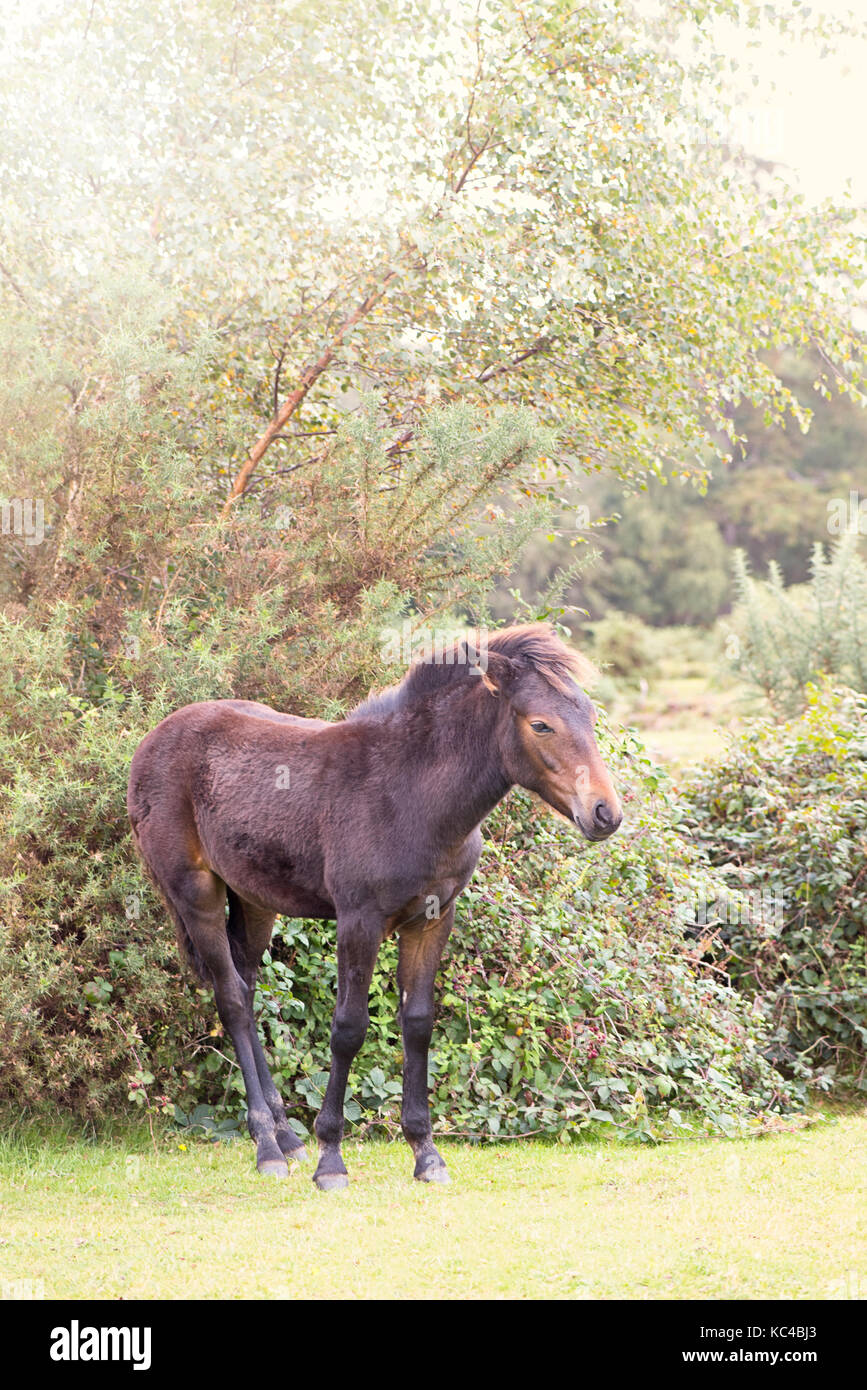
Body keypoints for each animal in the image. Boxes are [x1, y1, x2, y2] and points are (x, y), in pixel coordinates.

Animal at [126, 623, 622, 1189]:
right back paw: (267, 1146)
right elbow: (348, 1030)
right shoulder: (358, 921)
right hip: (196, 894)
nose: (606, 813)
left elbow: (419, 1024)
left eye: (590, 716)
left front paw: (426, 1153)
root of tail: (152, 740)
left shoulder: (433, 919)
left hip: (254, 901)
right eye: (540, 724)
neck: (411, 795)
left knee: (247, 990)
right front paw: (331, 1158)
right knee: (230, 998)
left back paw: (286, 1137)